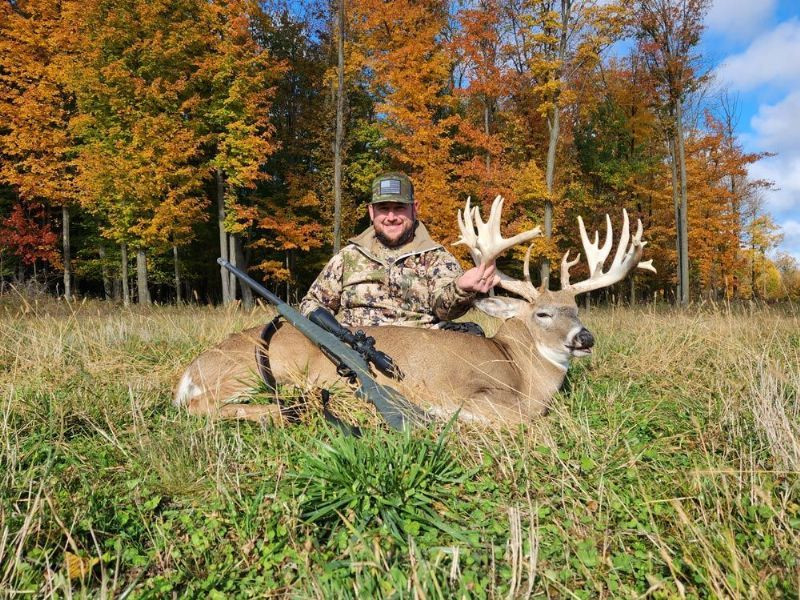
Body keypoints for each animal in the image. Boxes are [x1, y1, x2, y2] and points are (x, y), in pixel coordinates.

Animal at [174, 196, 655, 426]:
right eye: (542, 314)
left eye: (577, 310)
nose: (584, 338)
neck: (522, 369)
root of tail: (190, 372)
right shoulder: (482, 393)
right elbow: (519, 419)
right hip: (259, 370)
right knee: (204, 407)